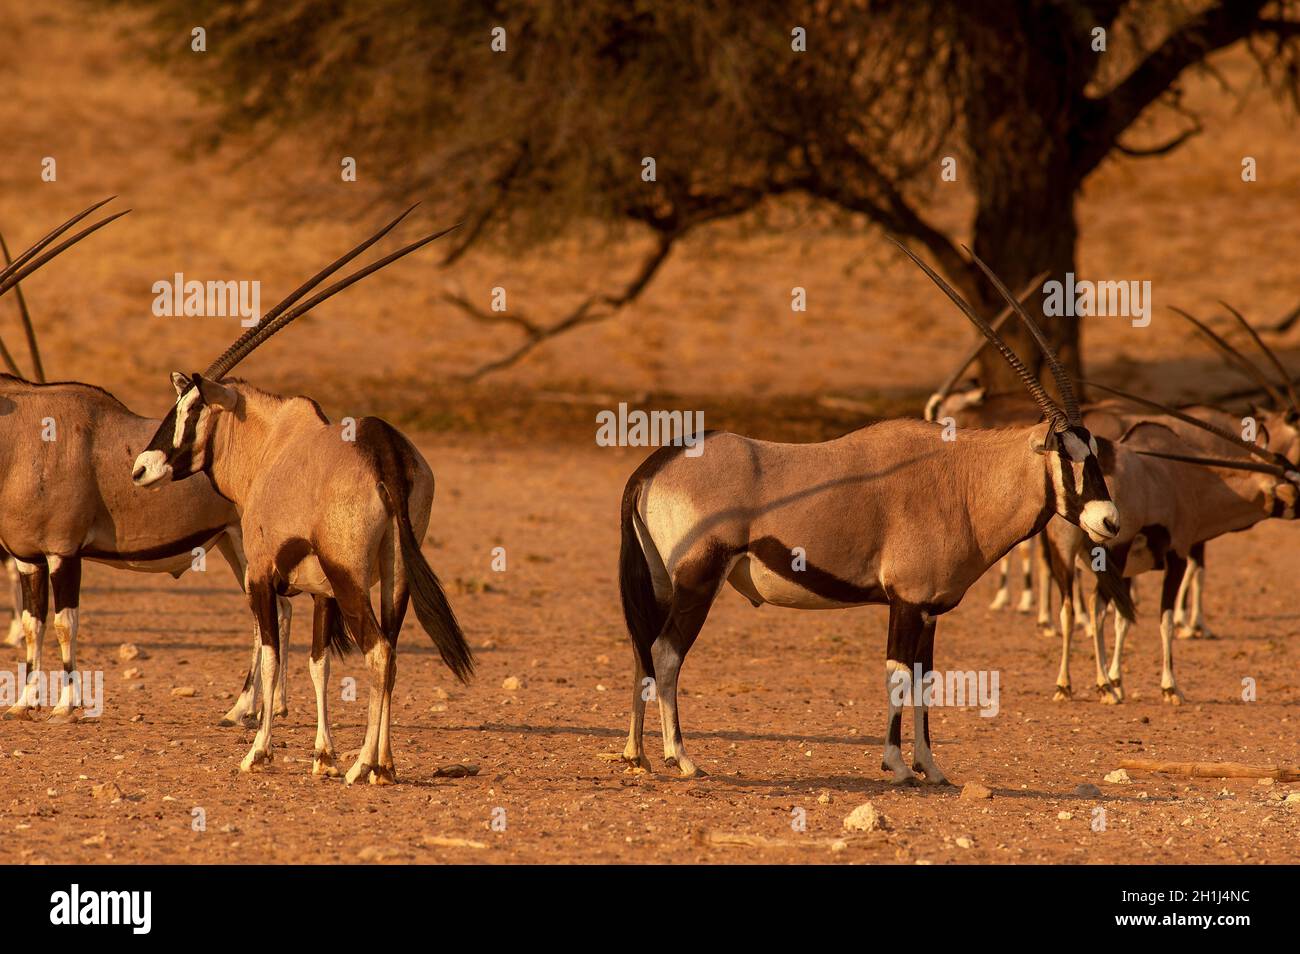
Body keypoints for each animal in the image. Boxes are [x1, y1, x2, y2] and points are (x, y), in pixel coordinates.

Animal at [0, 199, 293, 723]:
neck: (22, 436)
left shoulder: (63, 551)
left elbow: (65, 624)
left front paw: (67, 705)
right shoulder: (27, 557)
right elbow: (33, 627)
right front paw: (23, 701)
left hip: (246, 542)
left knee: (270, 616)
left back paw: (245, 707)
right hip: (231, 543)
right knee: (275, 612)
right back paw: (259, 706)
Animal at [131, 211, 473, 784]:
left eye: (189, 408)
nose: (140, 469)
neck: (270, 444)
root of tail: (385, 451)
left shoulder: (262, 577)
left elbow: (272, 657)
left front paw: (258, 751)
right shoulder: (321, 594)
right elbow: (319, 663)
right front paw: (321, 754)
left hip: (352, 575)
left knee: (378, 652)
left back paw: (365, 766)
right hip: (394, 574)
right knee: (392, 649)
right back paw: (384, 764)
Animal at [617, 241, 1130, 785]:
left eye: (1096, 452)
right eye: (1067, 457)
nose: (1109, 521)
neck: (962, 481)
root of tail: (652, 469)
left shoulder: (928, 609)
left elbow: (926, 679)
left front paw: (931, 767)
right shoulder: (906, 601)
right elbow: (898, 675)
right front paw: (897, 765)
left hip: (661, 584)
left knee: (642, 649)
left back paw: (636, 753)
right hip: (697, 581)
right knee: (666, 653)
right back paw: (680, 756)